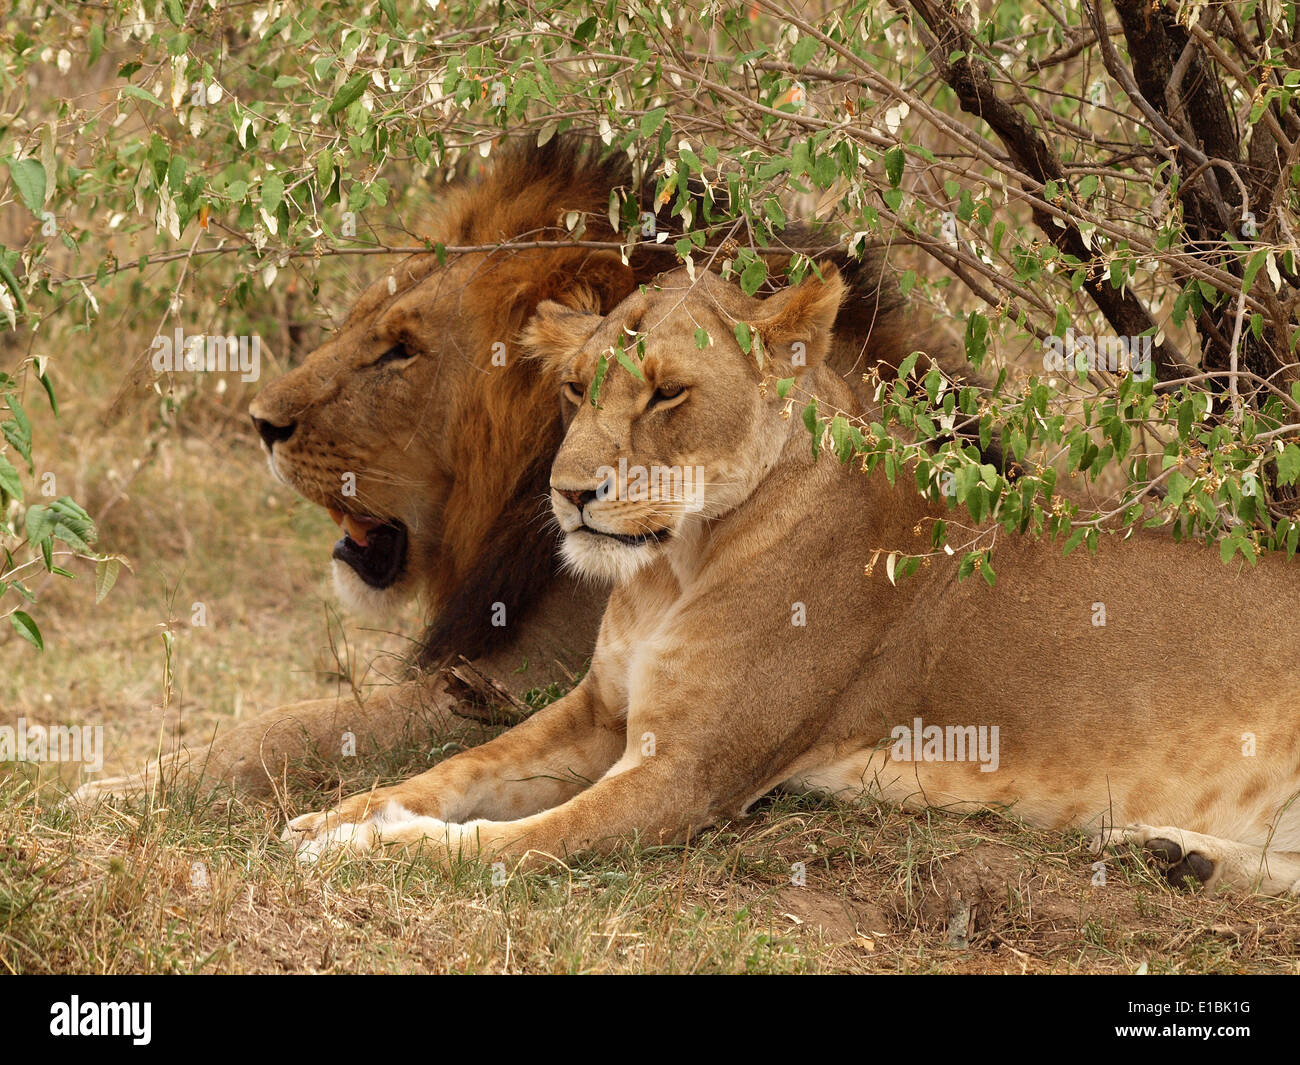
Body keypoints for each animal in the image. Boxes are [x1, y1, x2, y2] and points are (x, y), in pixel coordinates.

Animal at [76, 138, 970, 803]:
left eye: (401, 348)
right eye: (364, 317)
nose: (262, 423)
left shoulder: (518, 681)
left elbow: (286, 724)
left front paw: (121, 785)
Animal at [285, 266, 1300, 896]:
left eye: (666, 392)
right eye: (575, 389)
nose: (570, 494)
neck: (676, 564)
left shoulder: (689, 774)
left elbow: (510, 842)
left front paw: (366, 848)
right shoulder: (597, 711)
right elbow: (456, 769)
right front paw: (333, 815)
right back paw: (1176, 857)